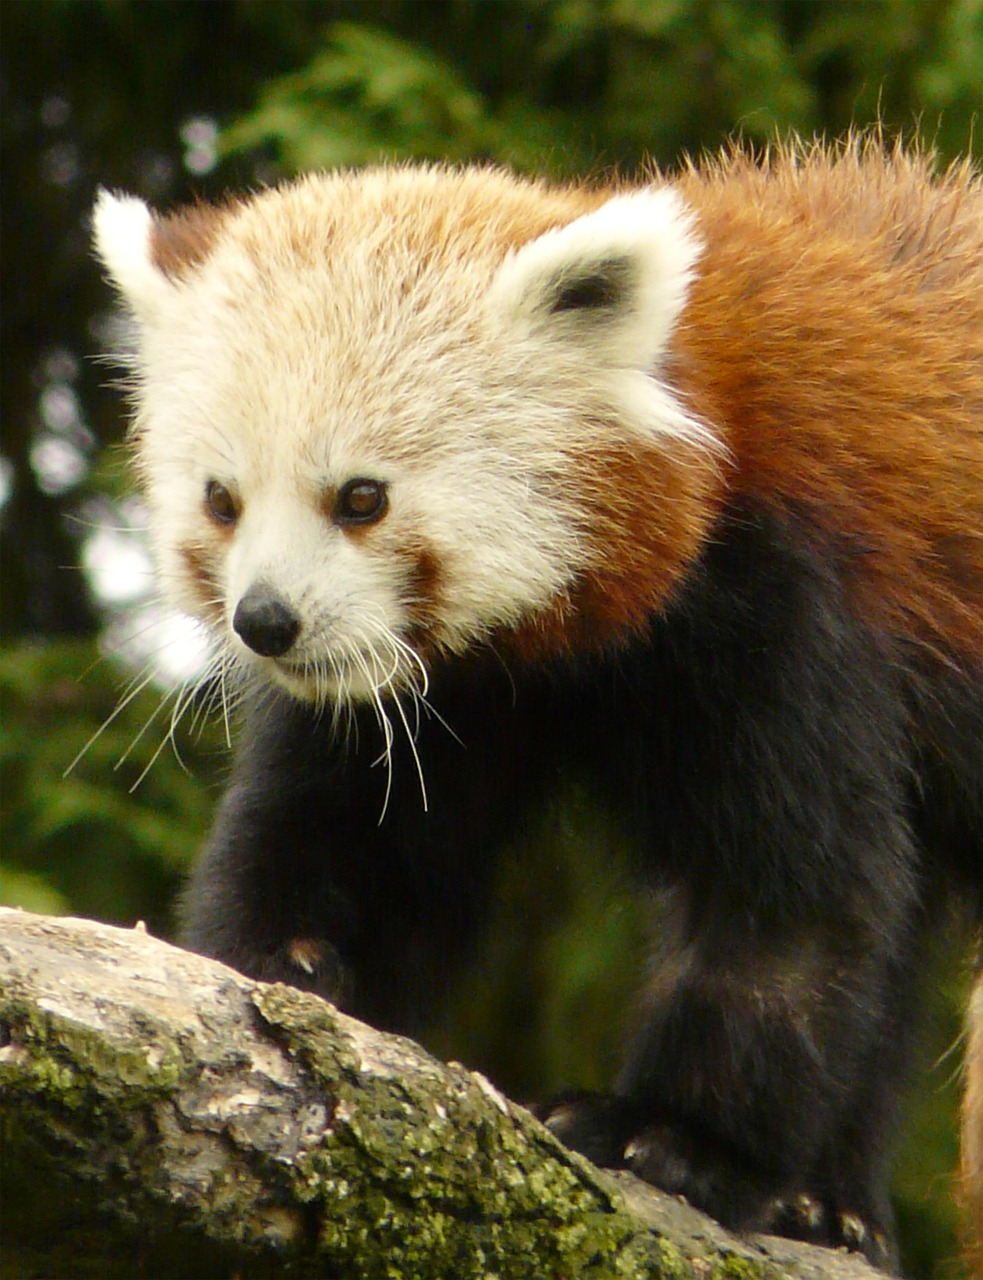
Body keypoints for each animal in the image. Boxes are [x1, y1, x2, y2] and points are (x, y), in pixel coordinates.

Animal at [93, 138, 982, 1270]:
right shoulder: (456, 684)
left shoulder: (790, 599)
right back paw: (831, 1204)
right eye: (222, 499)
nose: (266, 621)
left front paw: (676, 1136)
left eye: (361, 498)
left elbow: (792, 898)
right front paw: (276, 958)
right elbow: (358, 830)